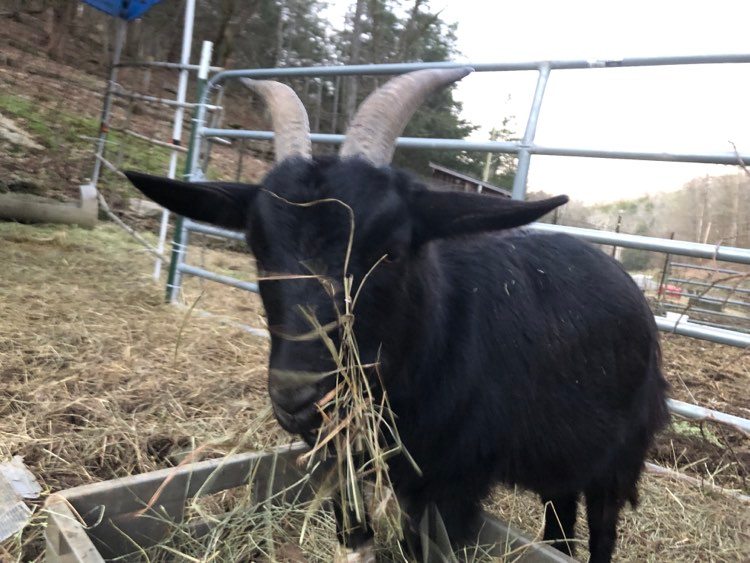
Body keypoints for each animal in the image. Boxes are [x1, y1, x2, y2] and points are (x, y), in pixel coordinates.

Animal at [125, 68, 669, 563]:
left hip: (618, 458)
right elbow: (355, 537)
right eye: (257, 248)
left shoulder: (451, 485)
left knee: (602, 530)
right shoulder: (346, 458)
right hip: (559, 453)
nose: (297, 397)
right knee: (560, 517)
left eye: (388, 250)